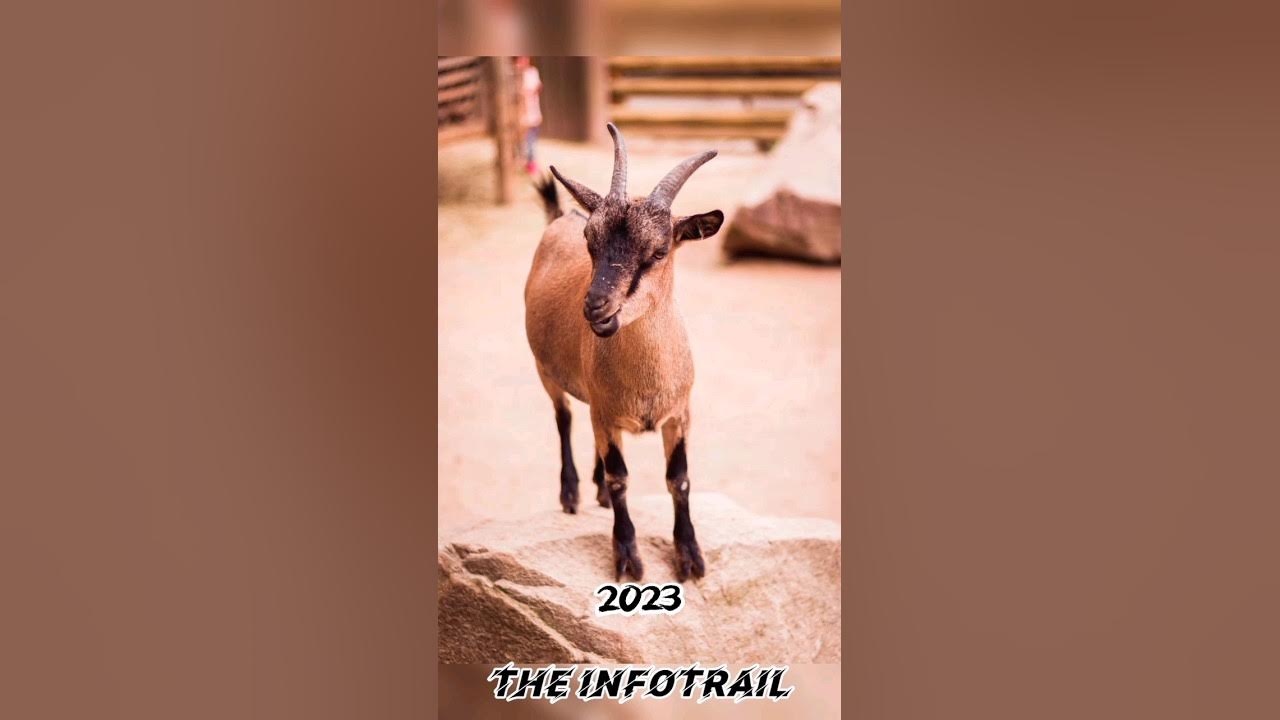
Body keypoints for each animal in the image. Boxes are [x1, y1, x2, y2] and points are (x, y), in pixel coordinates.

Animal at [524, 123, 724, 581]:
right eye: (590, 243)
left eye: (659, 251)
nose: (596, 307)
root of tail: (560, 216)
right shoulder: (604, 412)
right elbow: (621, 478)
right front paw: (629, 557)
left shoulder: (679, 414)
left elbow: (678, 479)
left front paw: (690, 556)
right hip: (545, 371)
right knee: (563, 418)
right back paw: (571, 492)